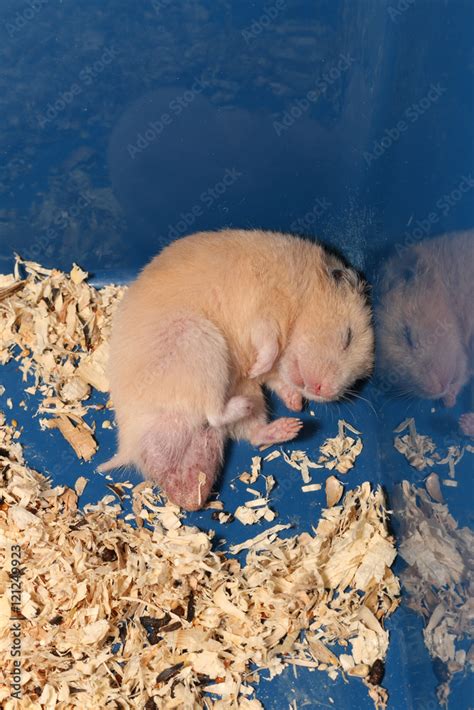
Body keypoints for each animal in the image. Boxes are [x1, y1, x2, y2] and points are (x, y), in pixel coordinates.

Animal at [99, 229, 374, 510]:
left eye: (358, 379)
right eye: (347, 337)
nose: (321, 391)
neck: (301, 299)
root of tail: (130, 442)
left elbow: (279, 380)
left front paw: (295, 402)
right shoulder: (263, 309)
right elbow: (268, 343)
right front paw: (258, 366)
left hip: (233, 388)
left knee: (248, 433)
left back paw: (289, 426)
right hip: (199, 343)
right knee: (214, 413)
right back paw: (253, 408)